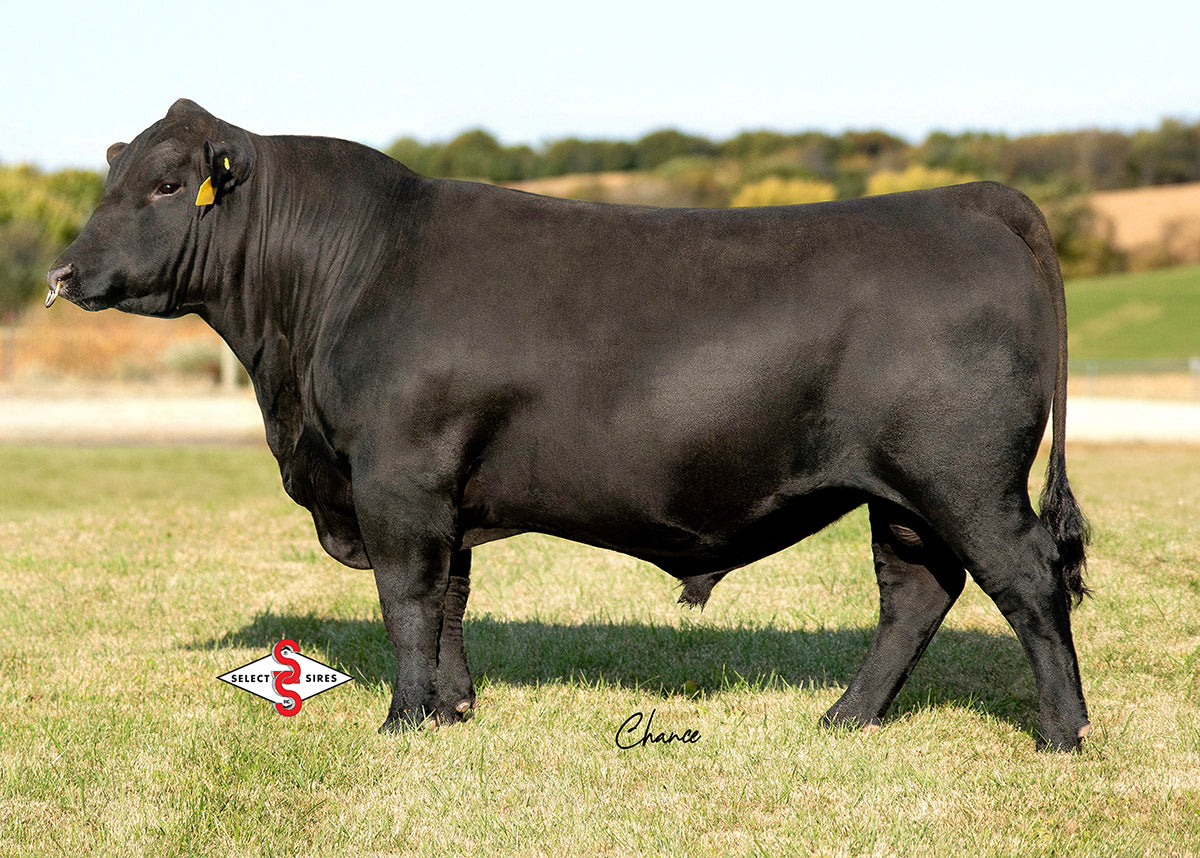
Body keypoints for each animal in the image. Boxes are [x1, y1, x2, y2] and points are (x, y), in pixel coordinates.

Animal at [47, 99, 1091, 750]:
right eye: (114, 177)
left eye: (168, 185)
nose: (62, 273)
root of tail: (968, 199)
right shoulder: (443, 489)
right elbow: (450, 599)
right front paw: (453, 711)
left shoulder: (397, 475)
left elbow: (406, 599)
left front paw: (402, 721)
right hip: (901, 490)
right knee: (916, 591)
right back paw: (846, 718)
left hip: (964, 476)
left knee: (1027, 580)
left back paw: (1062, 732)